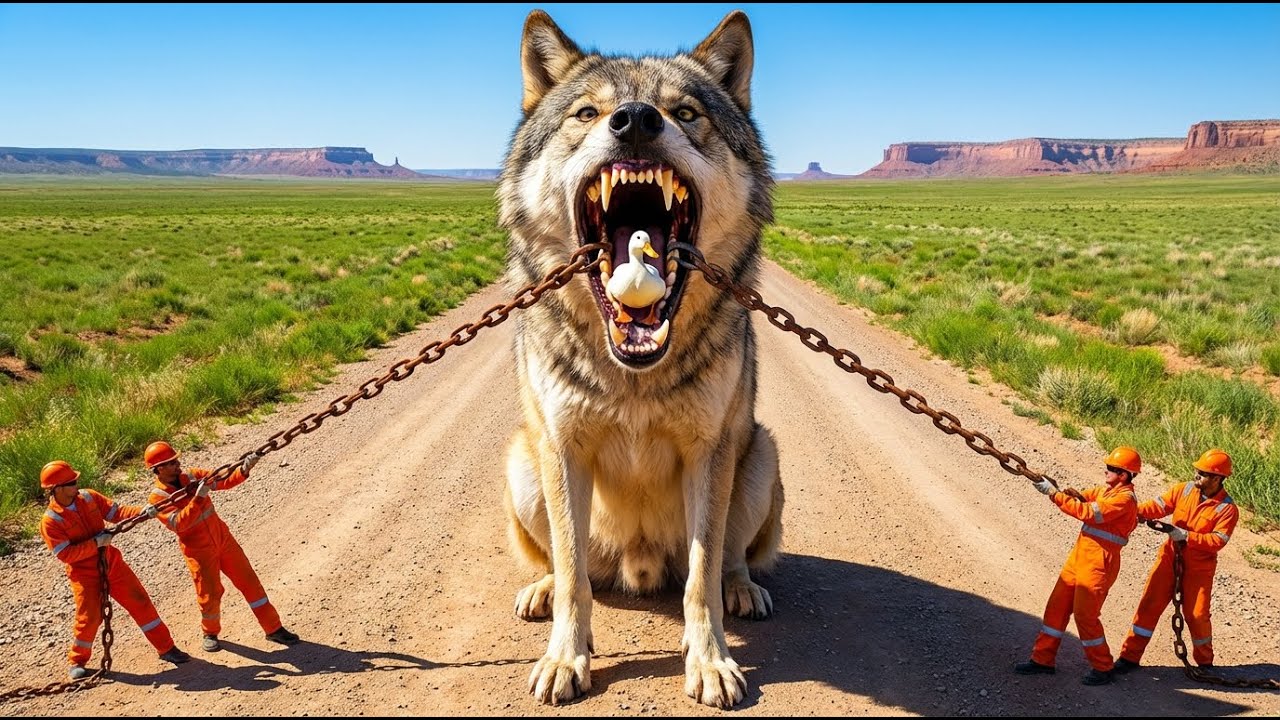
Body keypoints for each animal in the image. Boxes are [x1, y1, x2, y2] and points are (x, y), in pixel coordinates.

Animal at [497, 9, 782, 708]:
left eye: (685, 113)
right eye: (586, 113)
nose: (634, 120)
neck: (634, 369)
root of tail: (638, 567)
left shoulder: (710, 451)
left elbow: (702, 578)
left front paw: (711, 662)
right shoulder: (562, 449)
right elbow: (574, 575)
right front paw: (565, 659)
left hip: (759, 454)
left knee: (729, 559)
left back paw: (744, 588)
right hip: (523, 464)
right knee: (565, 567)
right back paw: (541, 590)